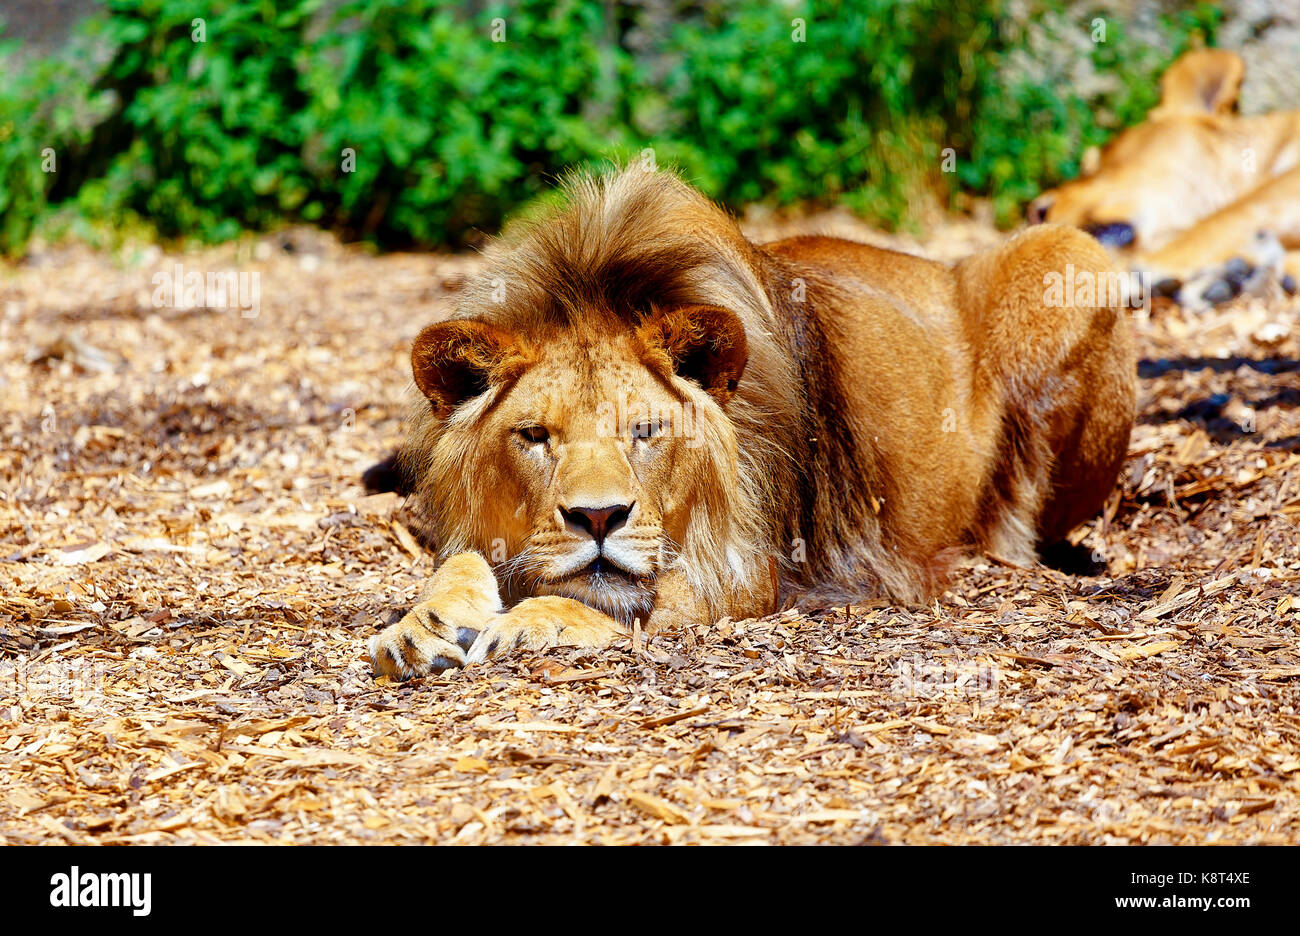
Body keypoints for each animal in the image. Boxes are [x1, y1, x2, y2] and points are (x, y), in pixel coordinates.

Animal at [366, 166, 1136, 680]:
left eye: (646, 432)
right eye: (534, 437)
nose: (598, 518)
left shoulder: (773, 568)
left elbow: (654, 600)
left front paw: (534, 622)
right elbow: (457, 562)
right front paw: (420, 624)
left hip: (1072, 255)